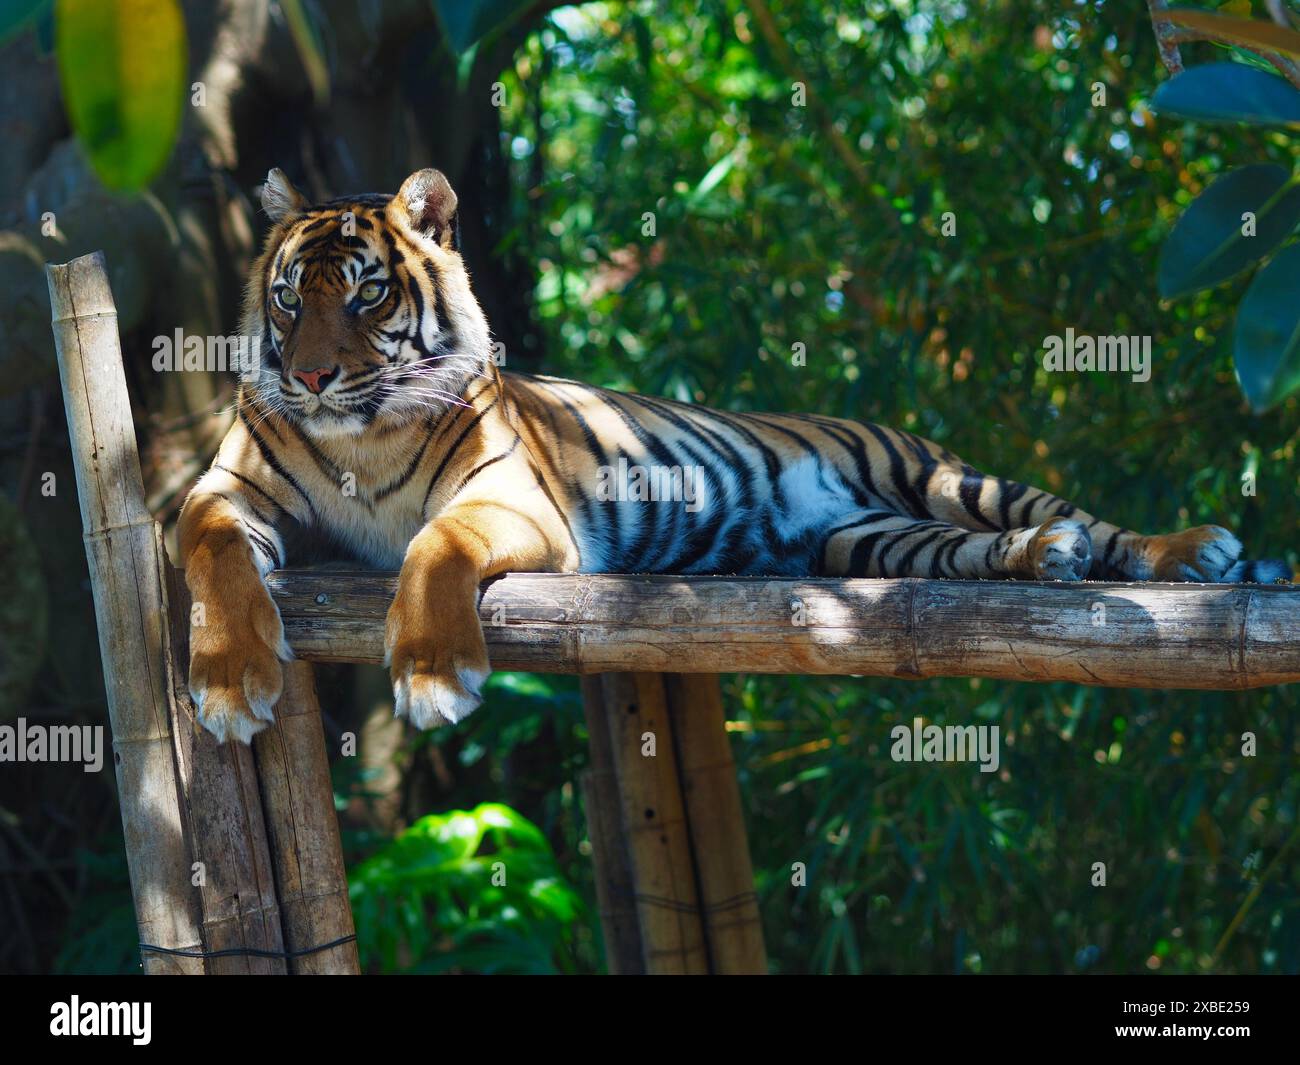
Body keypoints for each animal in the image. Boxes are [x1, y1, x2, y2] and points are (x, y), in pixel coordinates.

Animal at [177, 167, 1291, 743]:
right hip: (873, 546)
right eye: (289, 298)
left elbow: (430, 547)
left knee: (1085, 517)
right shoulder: (226, 487)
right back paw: (1046, 560)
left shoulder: (512, 501)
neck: (358, 438)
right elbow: (212, 550)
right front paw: (229, 685)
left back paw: (1187, 549)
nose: (313, 377)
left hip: (938, 474)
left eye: (367, 293)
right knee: (996, 550)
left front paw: (432, 674)